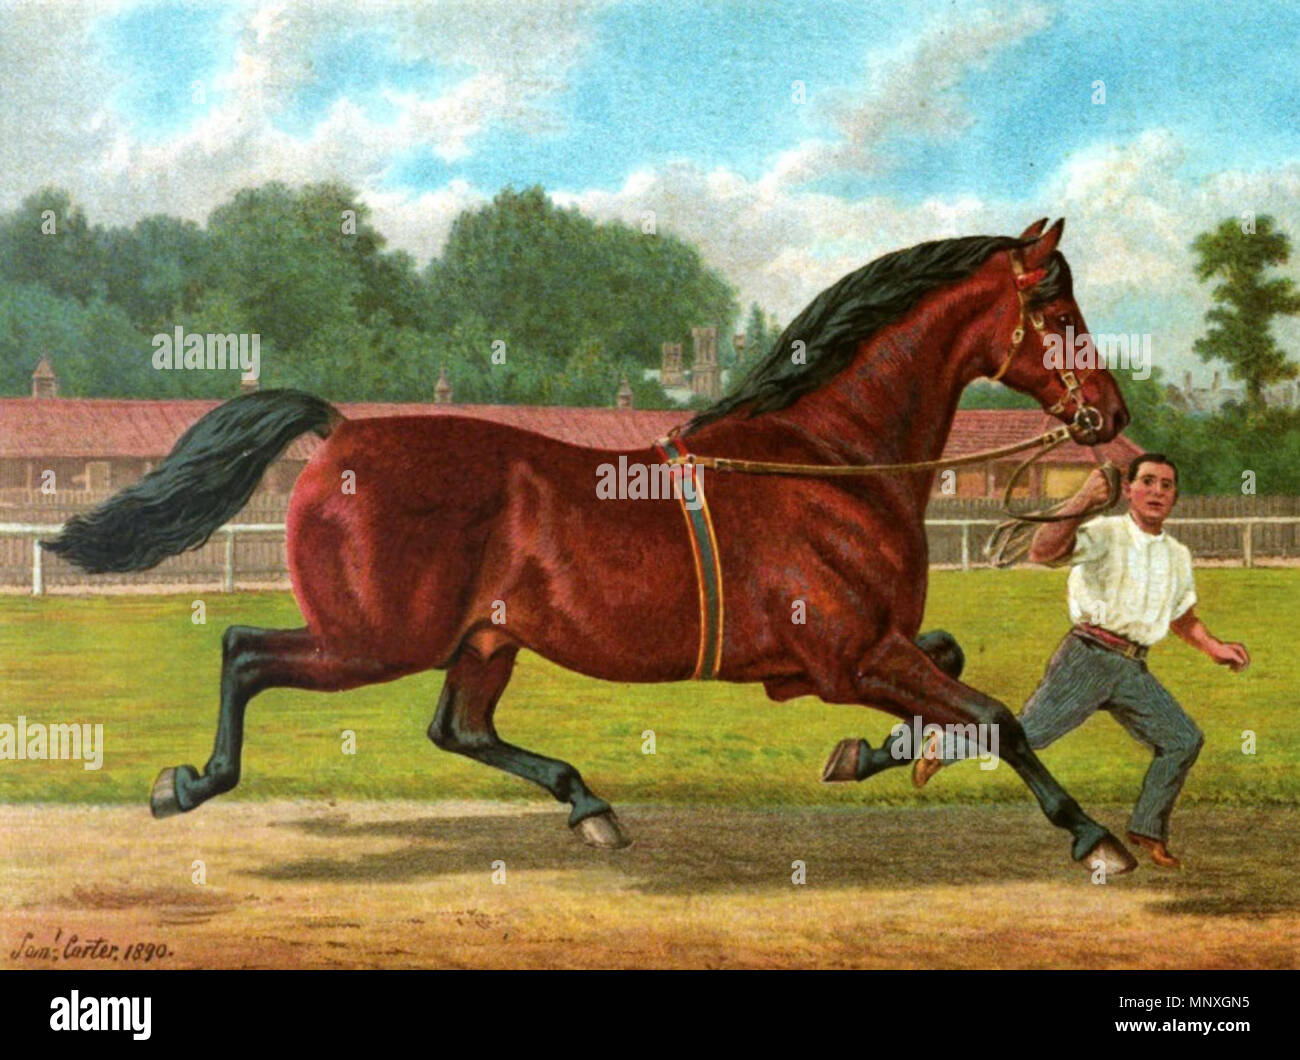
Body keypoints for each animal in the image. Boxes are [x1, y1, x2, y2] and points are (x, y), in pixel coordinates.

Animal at [45, 217, 1138, 874]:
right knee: (245, 651)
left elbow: (955, 682)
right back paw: (188, 783)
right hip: (375, 638)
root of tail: (344, 434)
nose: (1111, 413)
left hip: (482, 639)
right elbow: (998, 716)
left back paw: (590, 804)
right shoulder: (848, 654)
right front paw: (1093, 835)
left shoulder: (834, 663)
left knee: (457, 728)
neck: (825, 459)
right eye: (1055, 307)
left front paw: (871, 754)